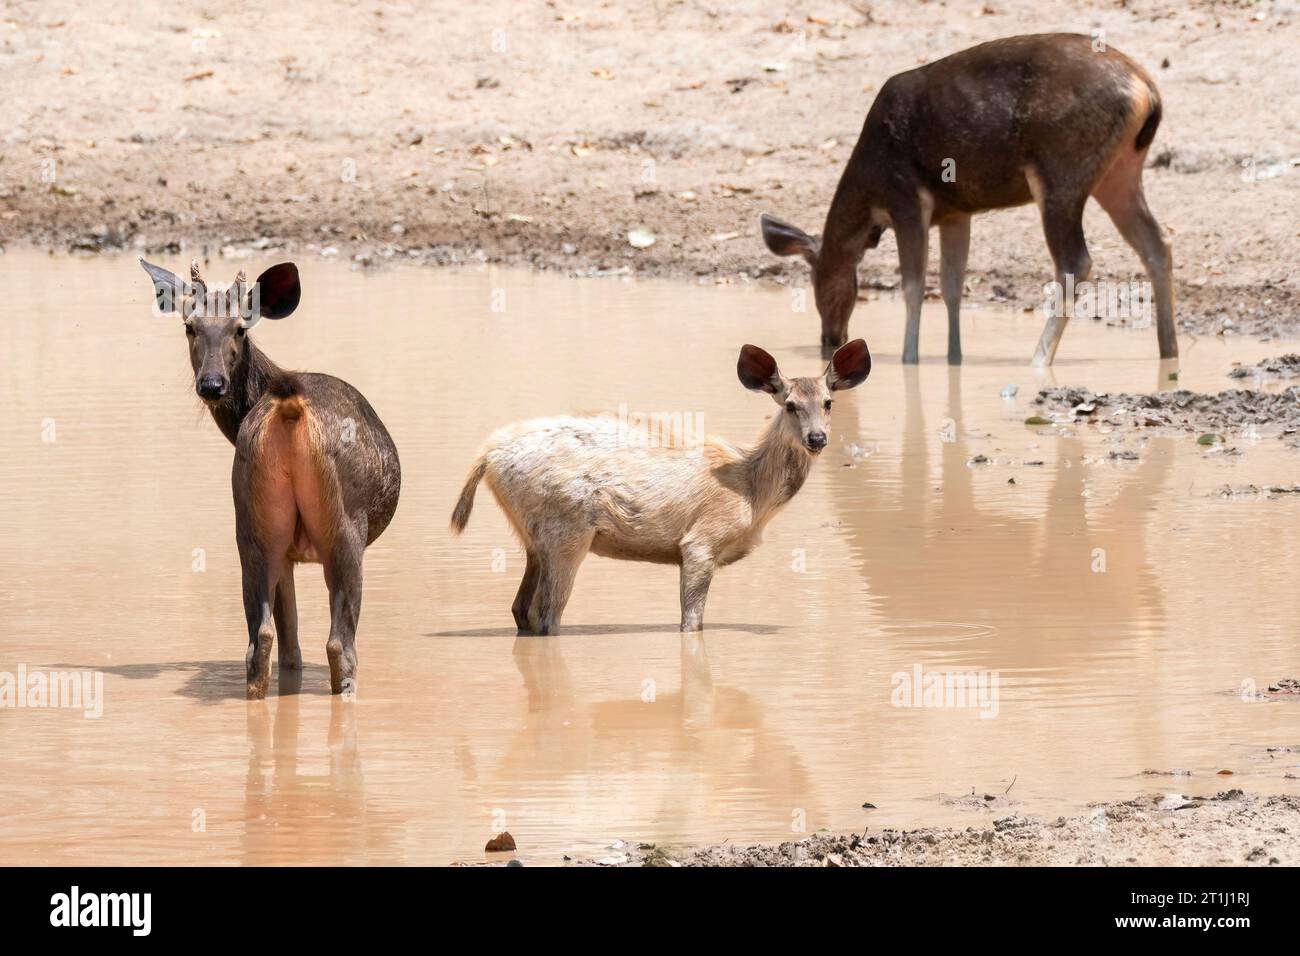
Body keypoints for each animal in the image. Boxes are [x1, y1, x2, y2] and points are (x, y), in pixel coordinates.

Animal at [139, 258, 401, 700]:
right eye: (190, 326)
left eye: (239, 329)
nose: (211, 384)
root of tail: (288, 407)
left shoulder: (285, 550)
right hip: (345, 526)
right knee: (339, 645)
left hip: (254, 525)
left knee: (260, 640)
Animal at [450, 339, 872, 634]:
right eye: (789, 404)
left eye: (829, 402)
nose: (817, 438)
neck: (752, 495)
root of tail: (487, 455)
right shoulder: (700, 541)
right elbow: (691, 622)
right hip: (566, 531)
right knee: (545, 613)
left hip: (533, 539)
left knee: (520, 608)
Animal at [760, 33, 1177, 368]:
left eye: (818, 282)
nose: (829, 340)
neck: (869, 195)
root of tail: (1146, 90)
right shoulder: (956, 212)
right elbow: (951, 285)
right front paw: (953, 357)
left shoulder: (906, 199)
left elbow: (914, 285)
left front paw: (909, 358)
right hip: (1119, 171)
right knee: (1157, 244)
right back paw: (1169, 352)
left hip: (1062, 169)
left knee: (1076, 261)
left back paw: (1039, 360)